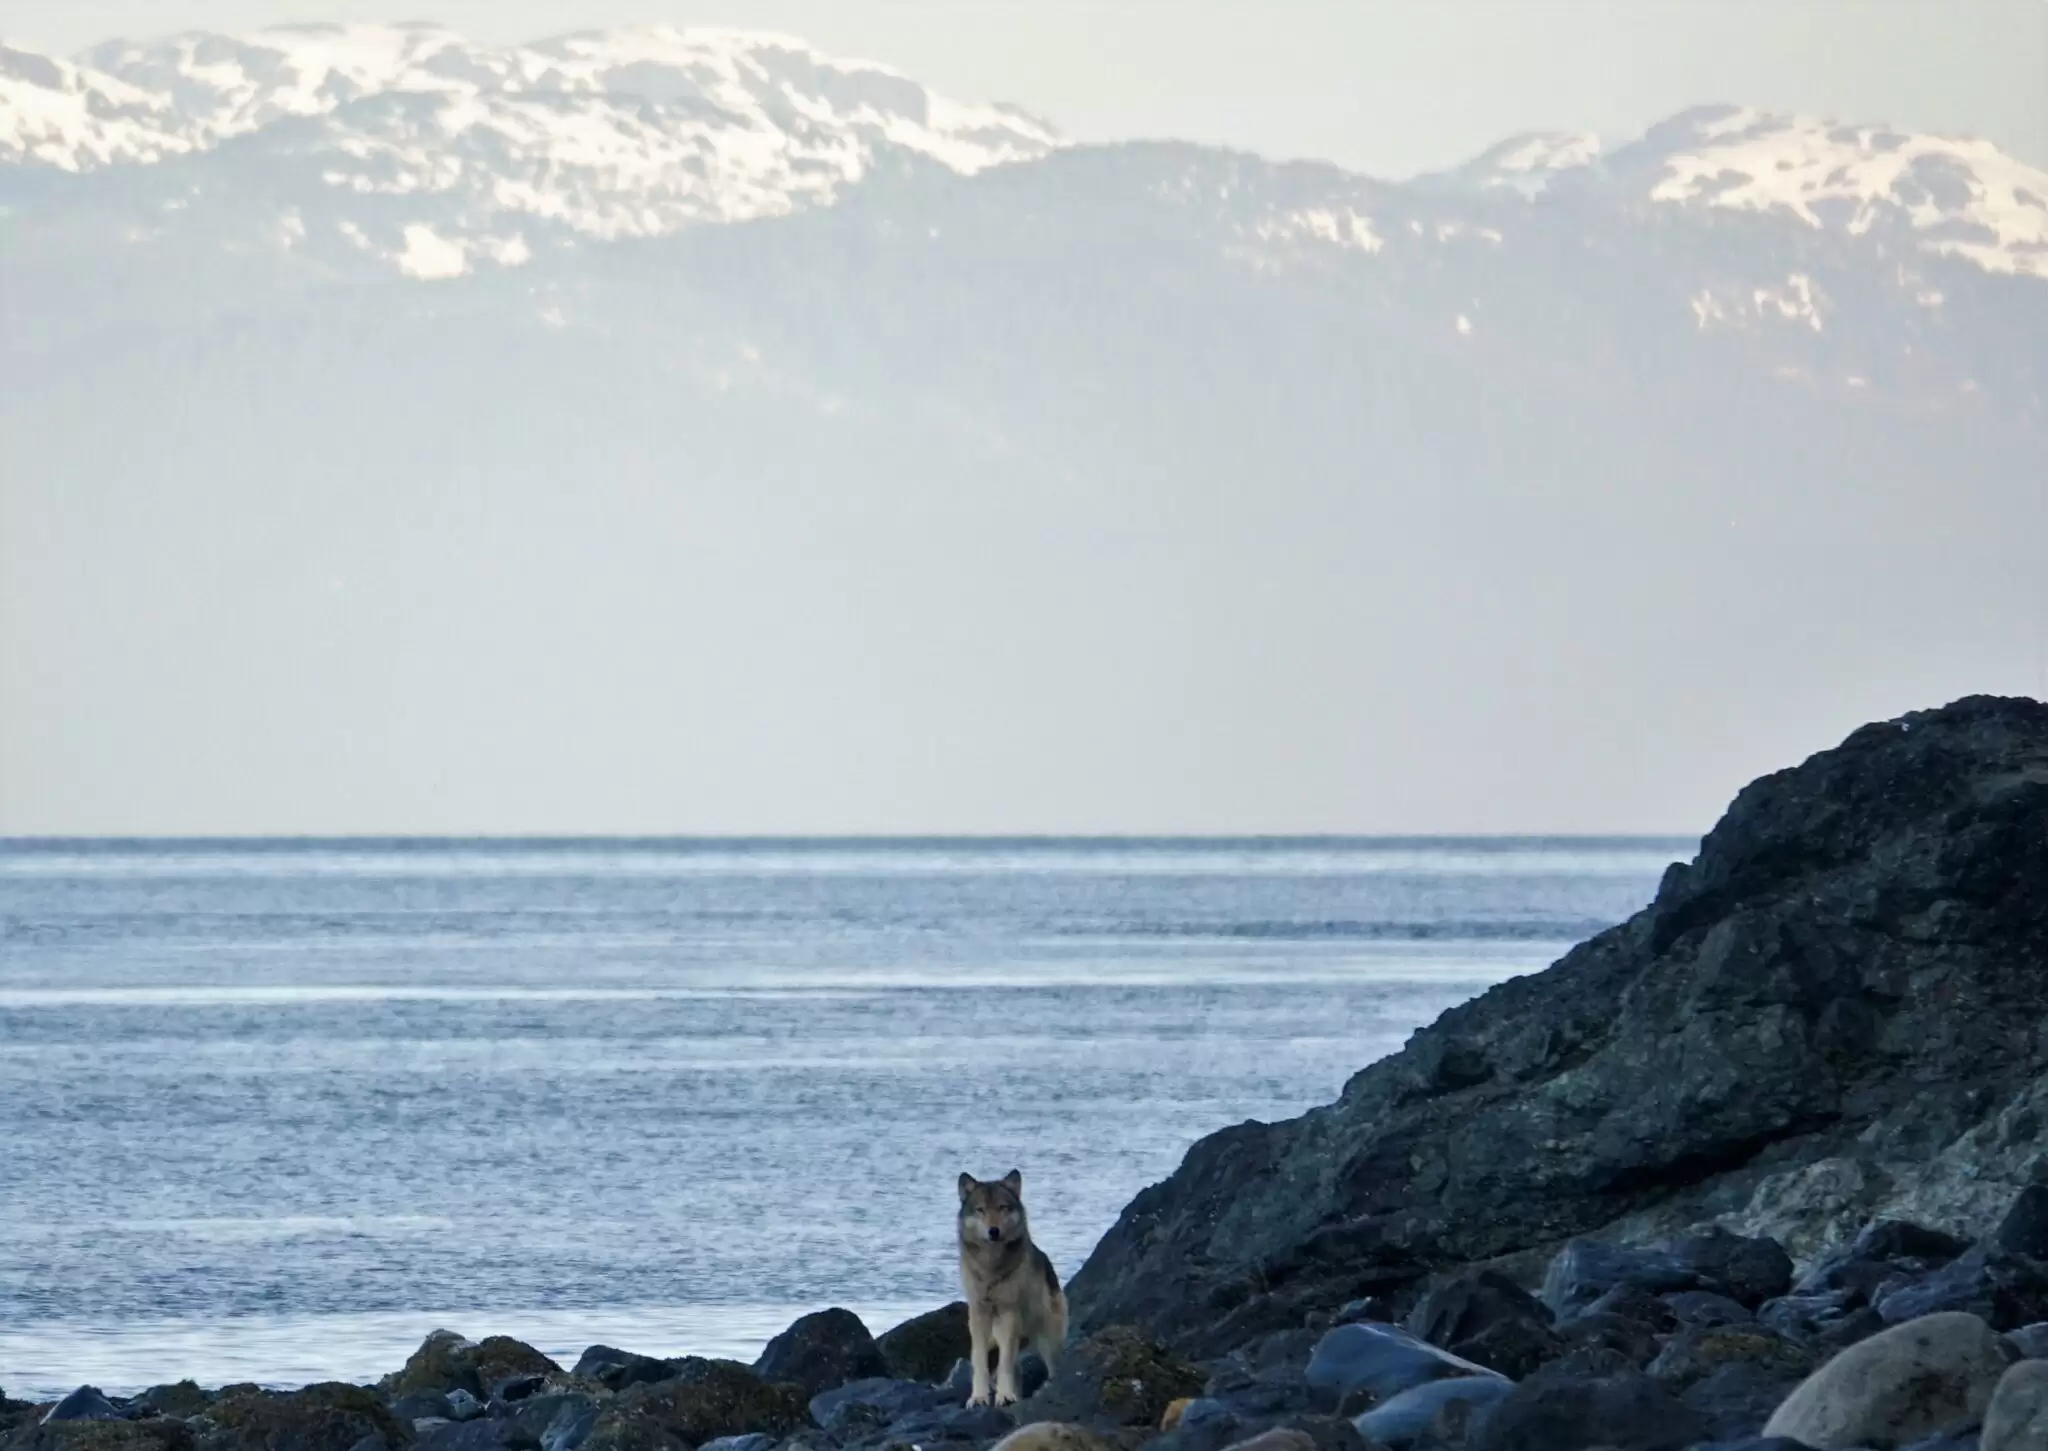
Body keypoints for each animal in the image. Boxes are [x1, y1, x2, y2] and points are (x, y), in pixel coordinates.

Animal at [957, 1169, 1068, 1407]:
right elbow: (979, 1362)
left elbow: (1005, 1363)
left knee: (1051, 1368)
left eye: (1002, 1207)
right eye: (980, 1210)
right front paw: (978, 1397)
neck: (991, 1266)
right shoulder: (978, 1314)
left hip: (1044, 1337)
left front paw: (1005, 1395)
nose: (994, 1231)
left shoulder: (1009, 1313)